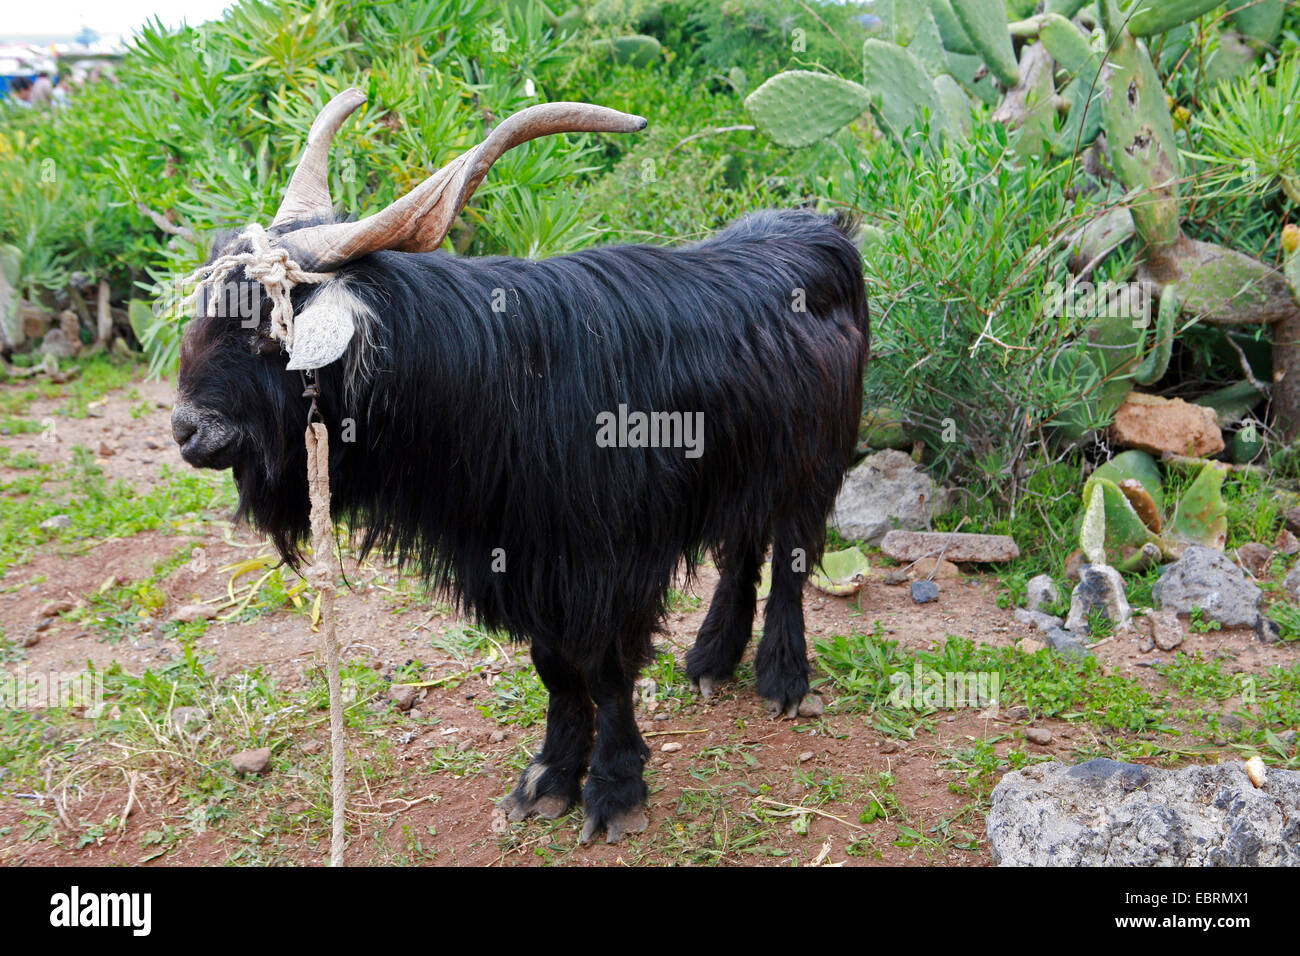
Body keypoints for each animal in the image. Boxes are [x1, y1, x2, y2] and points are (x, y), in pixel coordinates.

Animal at [172, 90, 869, 843]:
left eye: (264, 331)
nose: (188, 430)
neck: (501, 380)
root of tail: (822, 229)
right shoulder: (525, 557)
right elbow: (556, 668)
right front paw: (548, 779)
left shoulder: (610, 564)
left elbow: (608, 671)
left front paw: (615, 790)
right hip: (740, 472)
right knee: (741, 550)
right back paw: (712, 659)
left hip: (814, 464)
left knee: (792, 560)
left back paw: (782, 679)